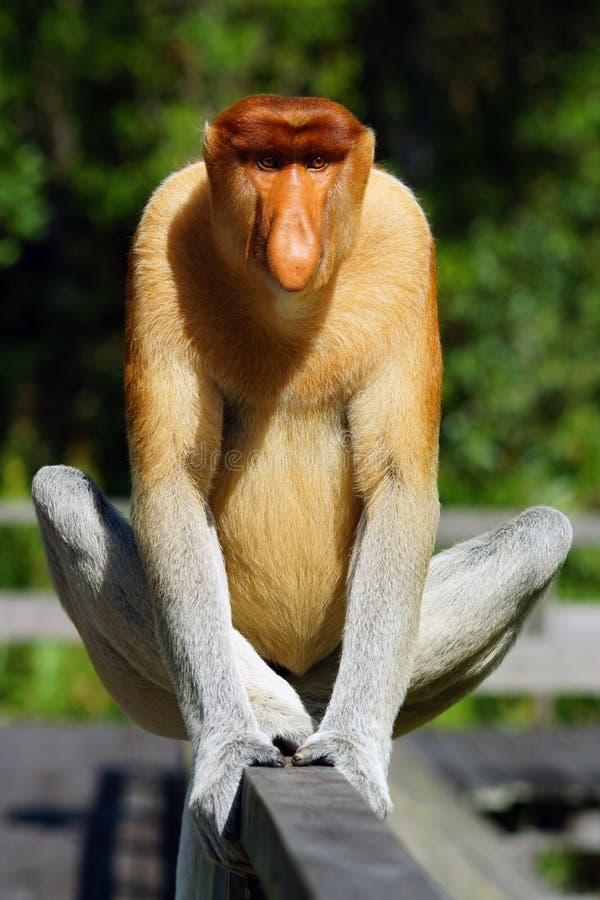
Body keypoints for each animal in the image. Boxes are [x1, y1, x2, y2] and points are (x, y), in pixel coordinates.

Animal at [32, 96, 572, 891]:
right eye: (266, 162)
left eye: (316, 163)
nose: (293, 235)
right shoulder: (160, 234)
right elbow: (170, 484)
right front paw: (228, 748)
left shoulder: (405, 239)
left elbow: (401, 485)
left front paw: (350, 750)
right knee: (58, 490)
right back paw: (276, 713)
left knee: (544, 532)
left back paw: (316, 712)